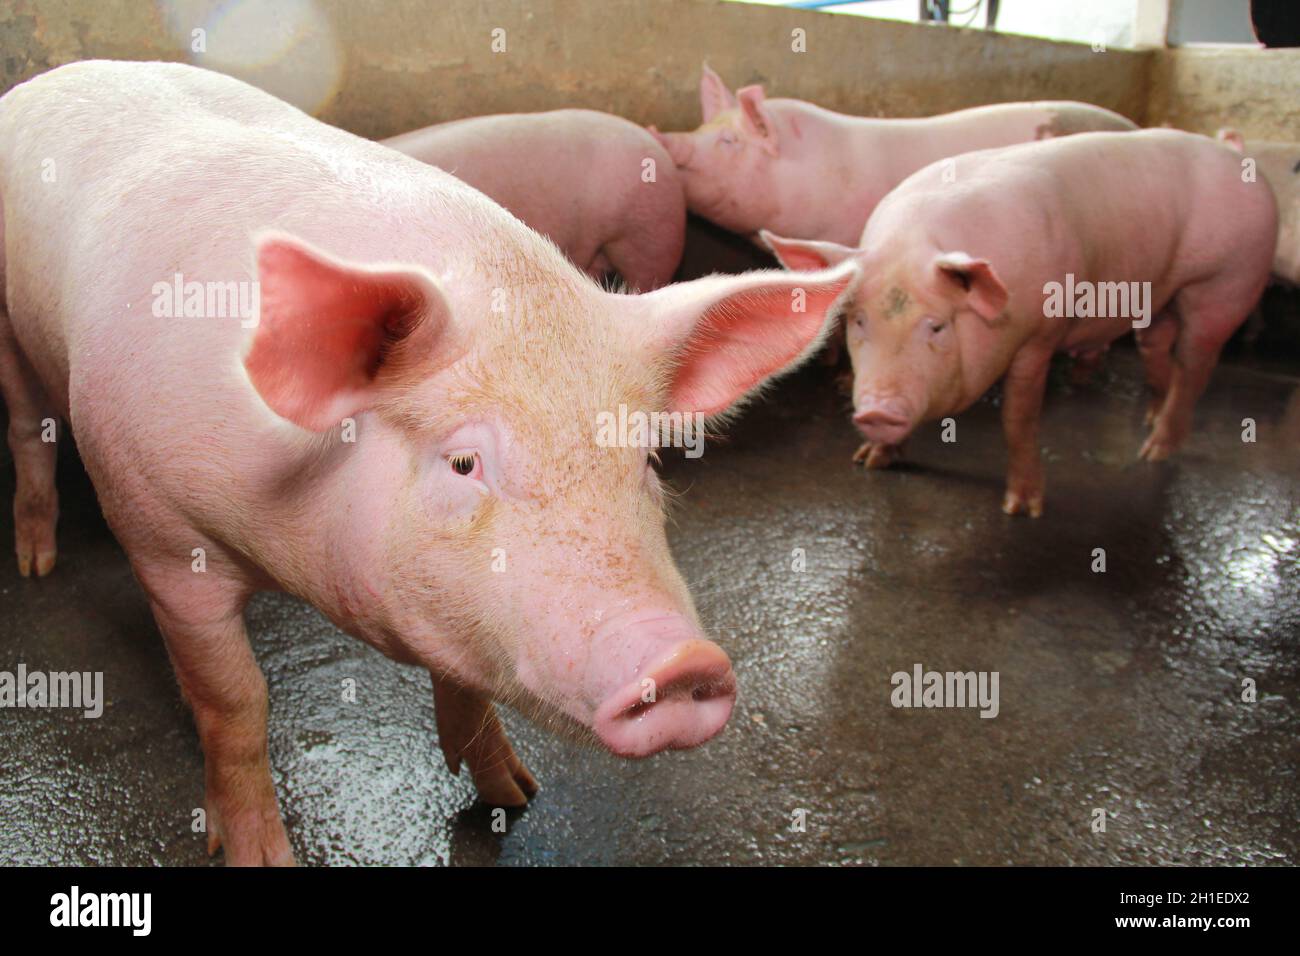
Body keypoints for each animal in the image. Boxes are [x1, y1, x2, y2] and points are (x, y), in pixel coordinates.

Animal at [762, 129, 1277, 517]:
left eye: (937, 326)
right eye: (858, 321)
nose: (877, 411)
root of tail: (1236, 156)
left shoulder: (1038, 335)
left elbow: (1018, 416)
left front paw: (1023, 508)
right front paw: (870, 462)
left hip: (1226, 283)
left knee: (1195, 364)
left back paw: (1154, 450)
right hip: (1162, 297)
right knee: (1156, 346)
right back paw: (1150, 419)